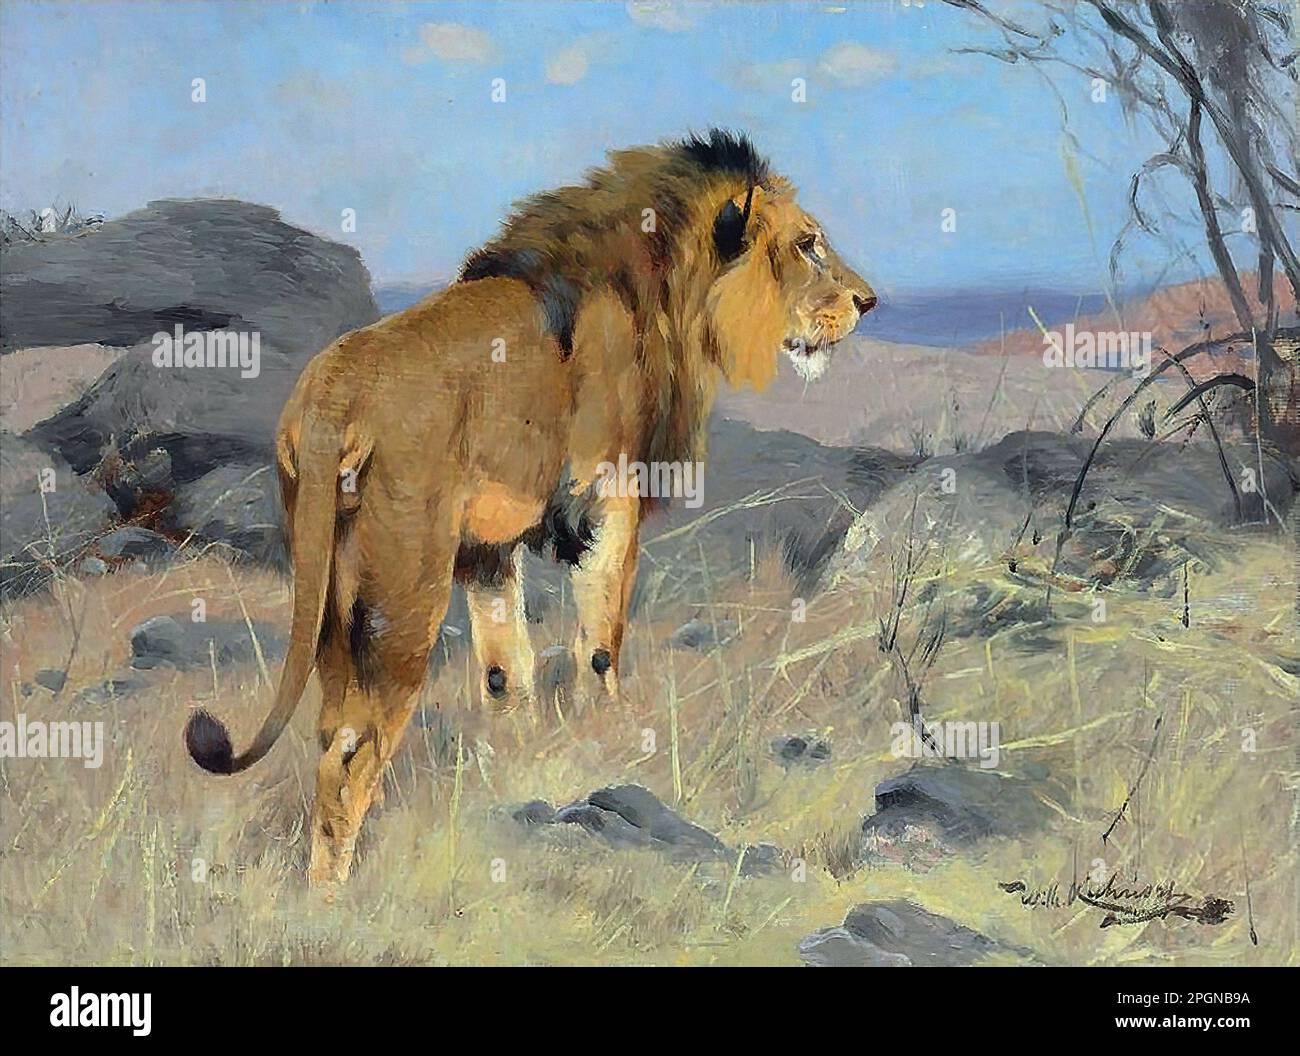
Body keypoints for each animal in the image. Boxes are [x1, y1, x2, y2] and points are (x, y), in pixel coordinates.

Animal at [184, 129, 876, 885]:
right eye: (808, 244)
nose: (869, 301)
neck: (663, 292)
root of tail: (333, 397)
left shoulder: (488, 548)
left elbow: (503, 671)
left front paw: (514, 765)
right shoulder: (607, 500)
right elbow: (599, 645)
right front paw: (606, 737)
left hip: (333, 589)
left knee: (326, 726)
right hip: (406, 582)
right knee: (351, 746)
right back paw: (330, 897)